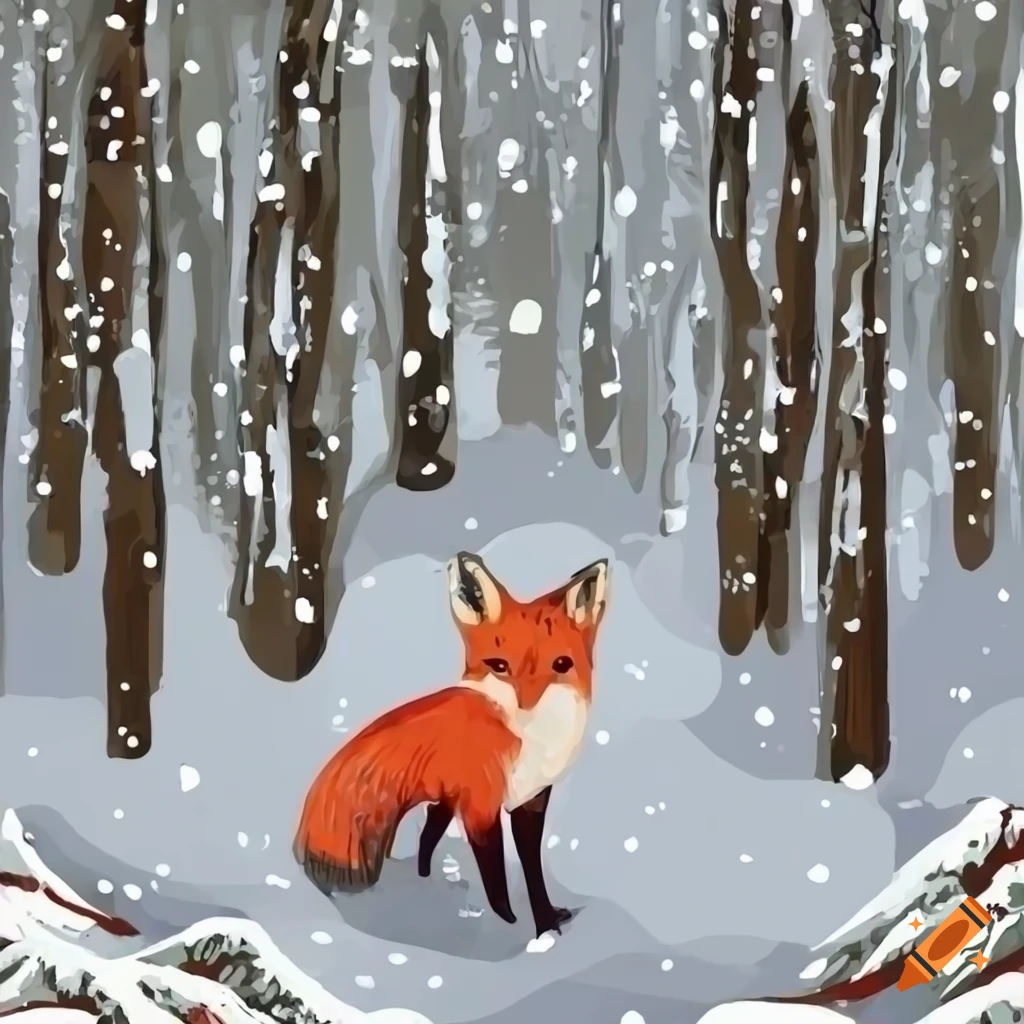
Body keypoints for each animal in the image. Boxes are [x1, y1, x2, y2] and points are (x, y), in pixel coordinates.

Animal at [293, 550, 609, 938]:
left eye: (562, 664)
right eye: (499, 665)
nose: (526, 706)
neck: (529, 743)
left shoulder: (530, 801)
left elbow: (532, 869)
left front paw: (546, 922)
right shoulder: (480, 808)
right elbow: (495, 879)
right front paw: (509, 925)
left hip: (444, 800)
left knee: (429, 832)